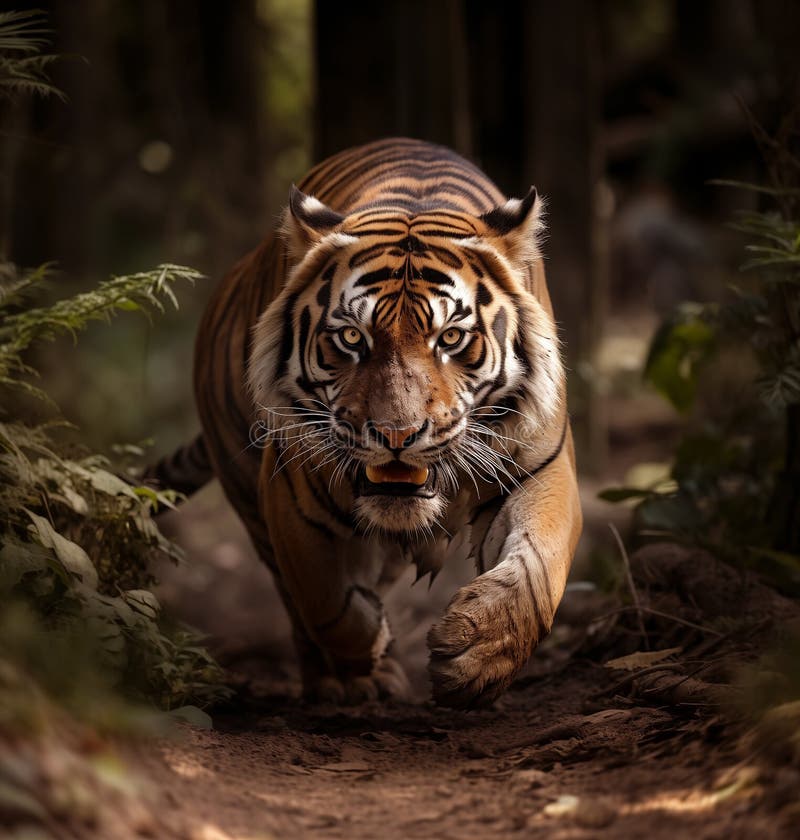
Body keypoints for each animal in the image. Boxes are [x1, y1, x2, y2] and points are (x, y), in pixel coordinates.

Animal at [148, 137, 582, 708]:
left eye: (450, 338)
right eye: (353, 337)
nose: (397, 435)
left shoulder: (541, 468)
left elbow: (539, 567)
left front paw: (480, 652)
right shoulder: (290, 493)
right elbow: (324, 602)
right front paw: (367, 655)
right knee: (294, 601)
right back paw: (338, 679)